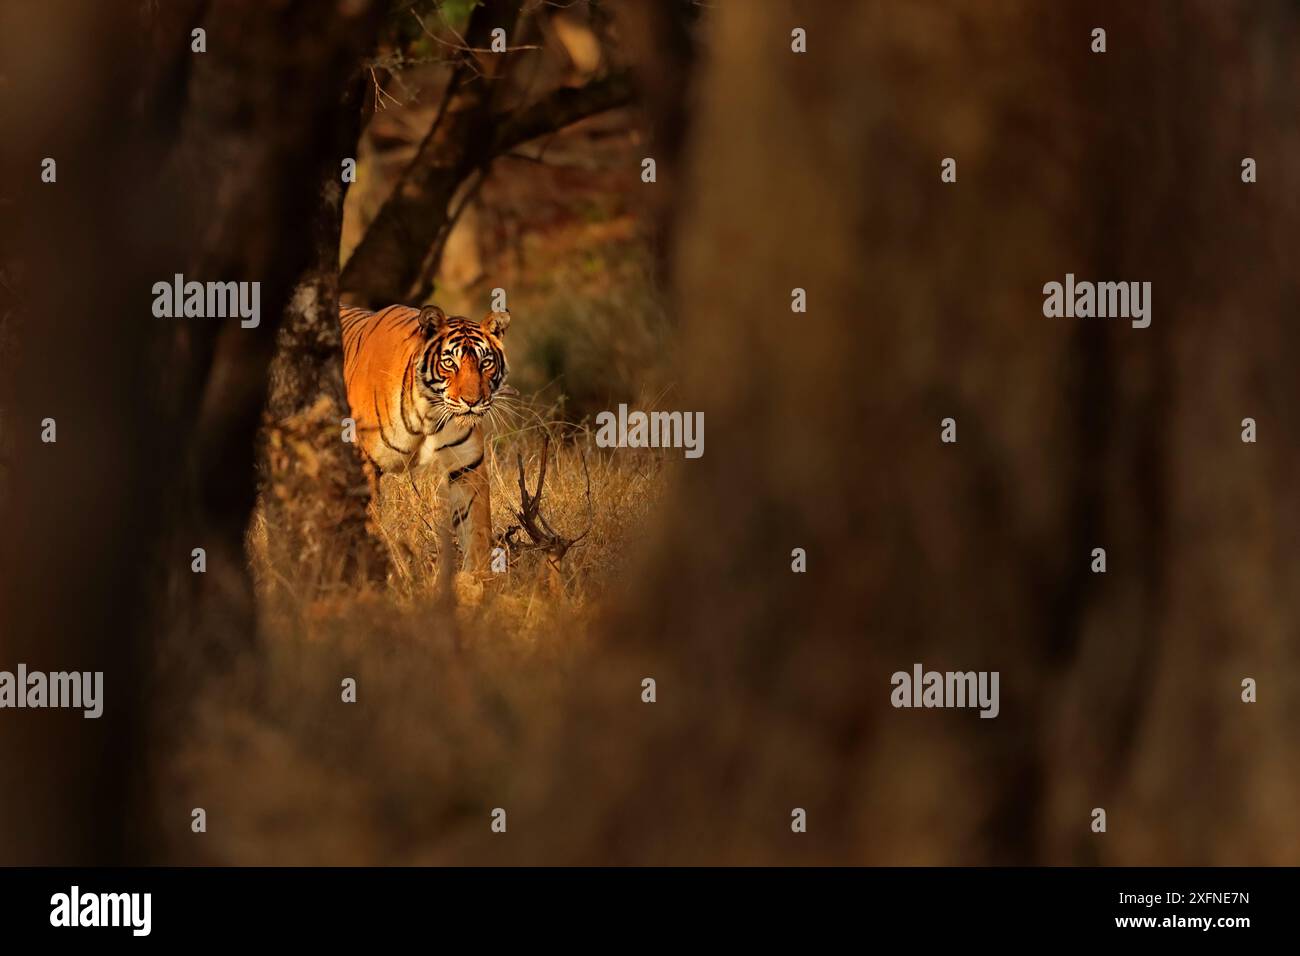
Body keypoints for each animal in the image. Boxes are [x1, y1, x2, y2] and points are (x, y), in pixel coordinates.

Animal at [340, 302, 511, 570]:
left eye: (485, 363)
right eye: (450, 362)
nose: (472, 402)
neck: (428, 413)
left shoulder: (467, 466)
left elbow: (476, 527)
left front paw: (478, 576)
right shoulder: (364, 461)